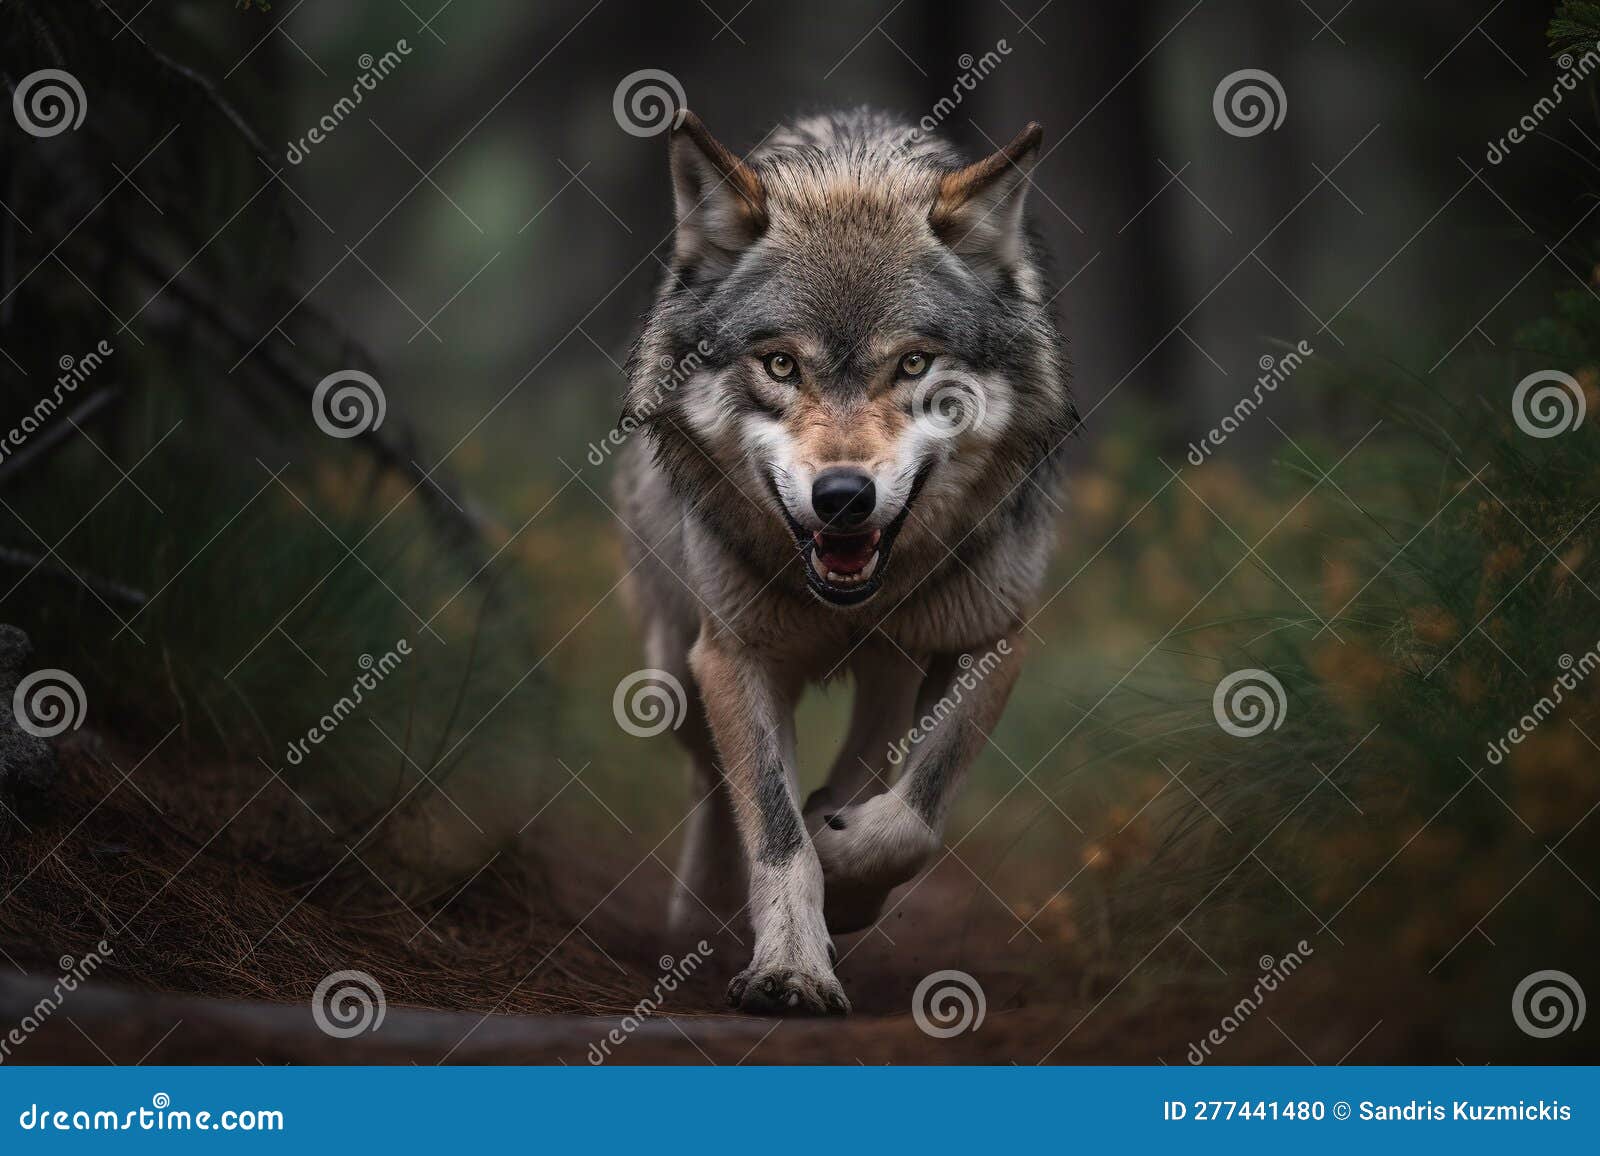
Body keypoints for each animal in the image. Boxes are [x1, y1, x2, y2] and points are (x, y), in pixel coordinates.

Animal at [616, 107, 1076, 1015]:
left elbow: (915, 814)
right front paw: (791, 969)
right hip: (676, 670)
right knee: (713, 784)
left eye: (913, 362)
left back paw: (837, 817)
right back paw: (700, 911)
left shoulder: (993, 637)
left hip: (901, 655)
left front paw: (845, 866)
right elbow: (774, 826)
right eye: (780, 363)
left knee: (877, 742)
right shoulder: (735, 654)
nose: (841, 497)